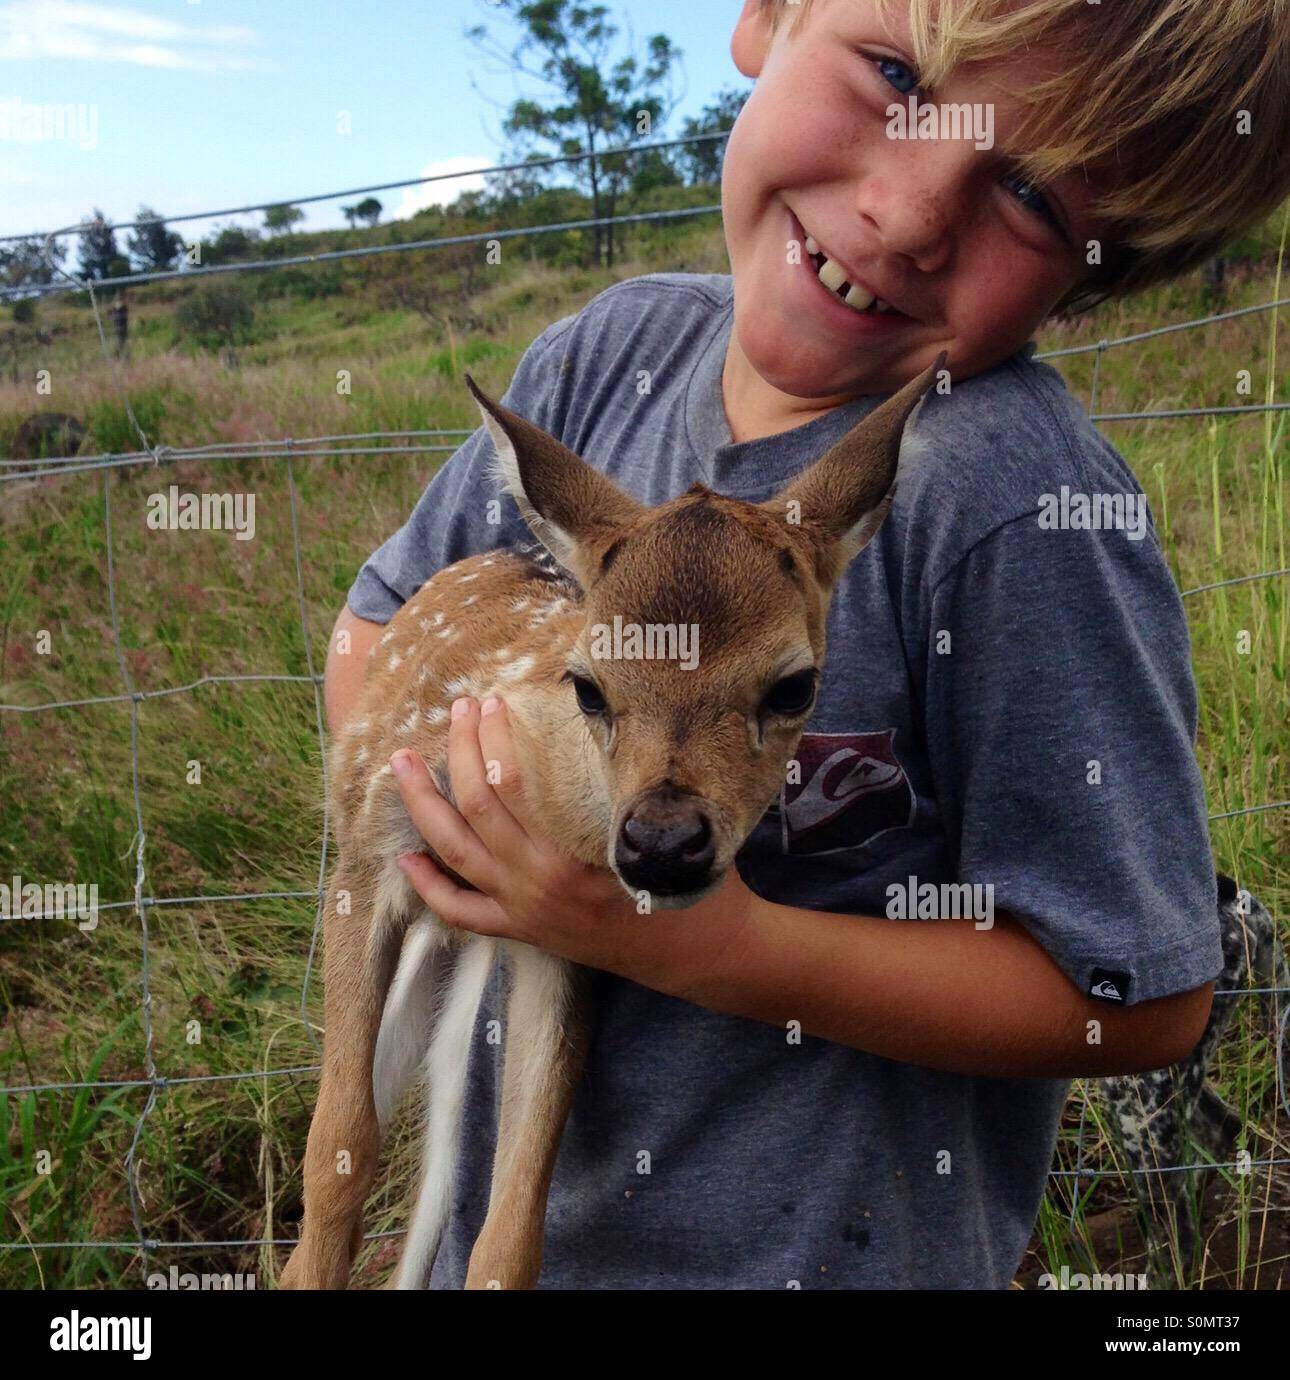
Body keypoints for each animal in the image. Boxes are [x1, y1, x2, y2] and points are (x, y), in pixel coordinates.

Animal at [279, 354, 943, 1291]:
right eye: (589, 684)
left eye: (795, 686)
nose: (662, 842)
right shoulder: (371, 847)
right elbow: (337, 1147)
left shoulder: (561, 946)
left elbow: (511, 1233)